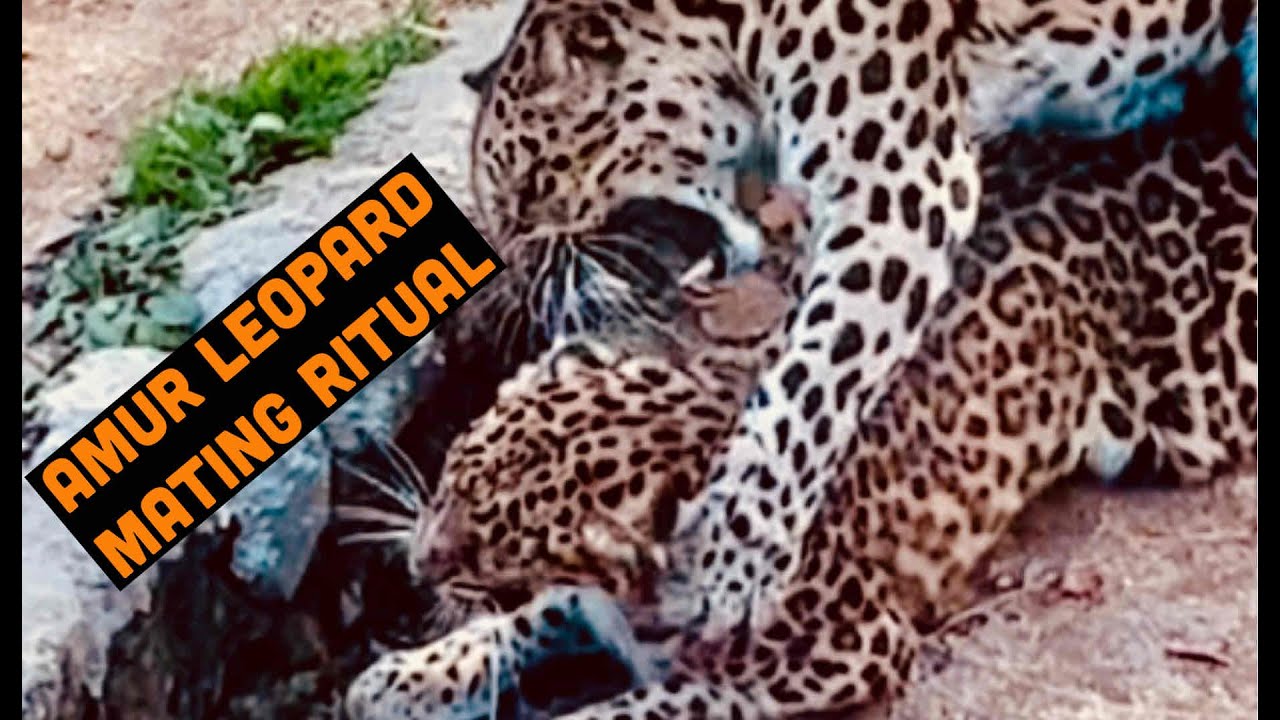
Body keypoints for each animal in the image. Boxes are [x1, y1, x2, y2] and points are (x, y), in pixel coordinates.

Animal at [345, 70, 1258, 718]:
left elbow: (650, 702)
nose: (418, 562)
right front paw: (405, 676)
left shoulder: (841, 646)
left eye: (499, 547)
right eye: (453, 478)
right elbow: (524, 622)